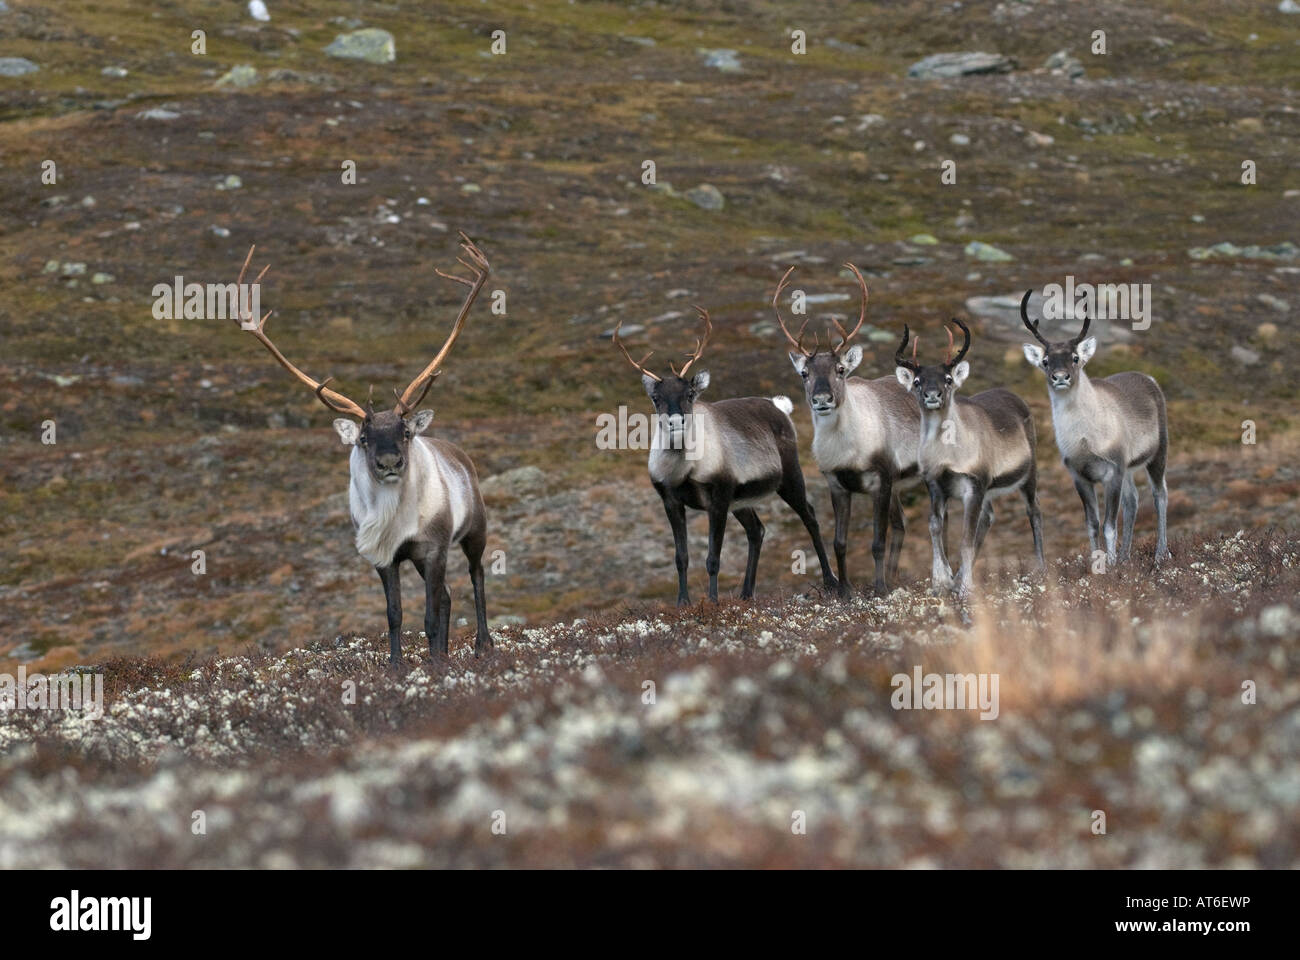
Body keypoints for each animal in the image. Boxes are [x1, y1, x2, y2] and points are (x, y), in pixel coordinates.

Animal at [225, 232, 492, 667]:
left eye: (405, 431)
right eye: (364, 439)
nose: (389, 463)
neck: (393, 518)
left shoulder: (433, 548)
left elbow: (428, 614)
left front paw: (433, 664)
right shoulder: (385, 557)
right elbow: (395, 614)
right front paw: (398, 666)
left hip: (474, 530)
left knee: (476, 575)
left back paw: (482, 644)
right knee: (449, 596)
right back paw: (443, 652)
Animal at [613, 307, 838, 605]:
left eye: (690, 394)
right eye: (656, 398)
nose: (676, 421)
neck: (682, 470)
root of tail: (779, 406)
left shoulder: (718, 496)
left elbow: (713, 558)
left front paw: (712, 601)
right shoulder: (670, 500)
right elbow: (681, 557)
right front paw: (683, 602)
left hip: (789, 475)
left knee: (810, 517)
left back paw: (831, 581)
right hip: (741, 499)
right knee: (757, 530)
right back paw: (746, 594)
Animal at [774, 263, 921, 598]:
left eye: (840, 370)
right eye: (805, 373)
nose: (822, 399)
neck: (848, 451)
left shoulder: (882, 480)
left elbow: (877, 542)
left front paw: (879, 588)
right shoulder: (837, 484)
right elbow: (839, 543)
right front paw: (844, 590)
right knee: (902, 525)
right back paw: (895, 577)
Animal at [893, 318, 1044, 599]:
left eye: (948, 378)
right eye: (917, 381)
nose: (933, 395)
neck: (947, 455)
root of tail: (1017, 397)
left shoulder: (974, 485)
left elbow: (965, 539)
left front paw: (965, 588)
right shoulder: (935, 485)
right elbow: (935, 527)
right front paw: (942, 581)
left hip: (1029, 474)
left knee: (1034, 511)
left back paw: (1042, 567)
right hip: (990, 490)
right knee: (988, 518)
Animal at [1019, 290, 1170, 566]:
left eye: (1075, 358)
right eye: (1045, 361)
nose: (1060, 377)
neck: (1084, 439)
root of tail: (1149, 378)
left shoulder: (1113, 471)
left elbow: (1109, 525)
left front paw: (1109, 566)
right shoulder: (1080, 476)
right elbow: (1091, 524)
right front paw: (1098, 564)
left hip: (1157, 453)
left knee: (1160, 494)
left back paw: (1160, 554)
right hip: (1129, 467)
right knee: (1133, 501)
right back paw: (1125, 557)